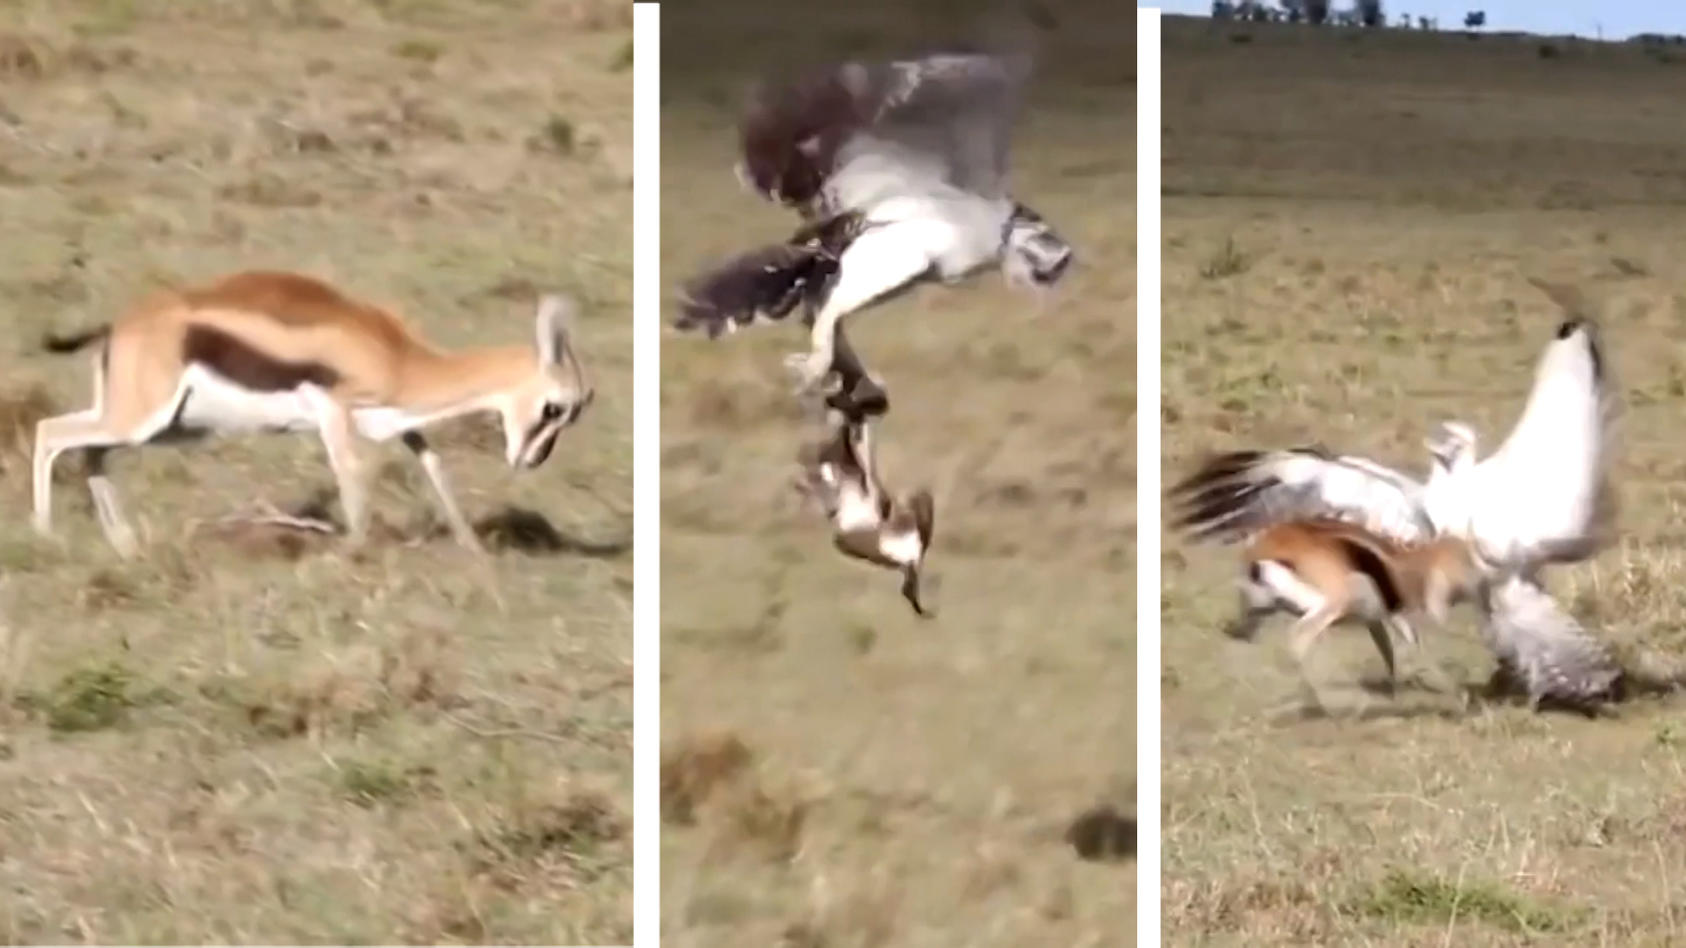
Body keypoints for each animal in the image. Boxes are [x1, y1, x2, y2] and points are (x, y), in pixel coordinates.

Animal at [33, 270, 594, 558]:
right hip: (141, 421)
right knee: (49, 432)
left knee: (89, 454)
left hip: (159, 426)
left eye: (573, 414)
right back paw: (46, 537)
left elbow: (436, 470)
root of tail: (120, 325)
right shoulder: (336, 410)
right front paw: (352, 552)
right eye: (554, 407)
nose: (531, 460)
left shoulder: (399, 425)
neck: (397, 355)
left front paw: (473, 548)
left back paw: (123, 542)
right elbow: (352, 473)